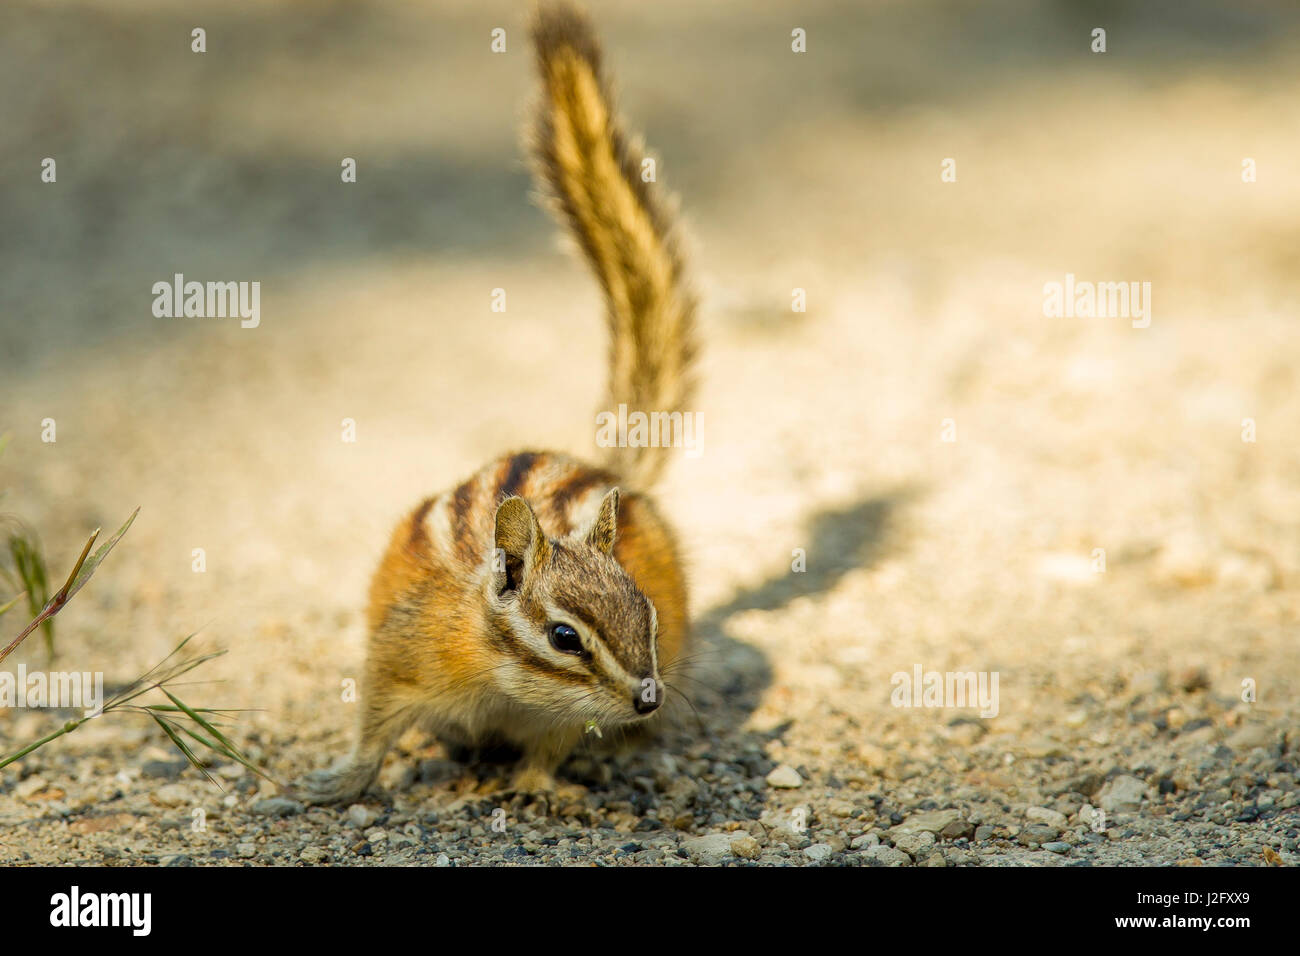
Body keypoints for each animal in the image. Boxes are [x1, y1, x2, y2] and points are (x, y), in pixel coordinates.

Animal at [303, 1, 696, 803]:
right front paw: (337, 781)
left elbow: (551, 746)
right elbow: (373, 727)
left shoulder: (561, 719)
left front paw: (539, 786)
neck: (507, 685)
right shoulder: (402, 655)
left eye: (646, 612)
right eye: (564, 637)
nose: (648, 697)